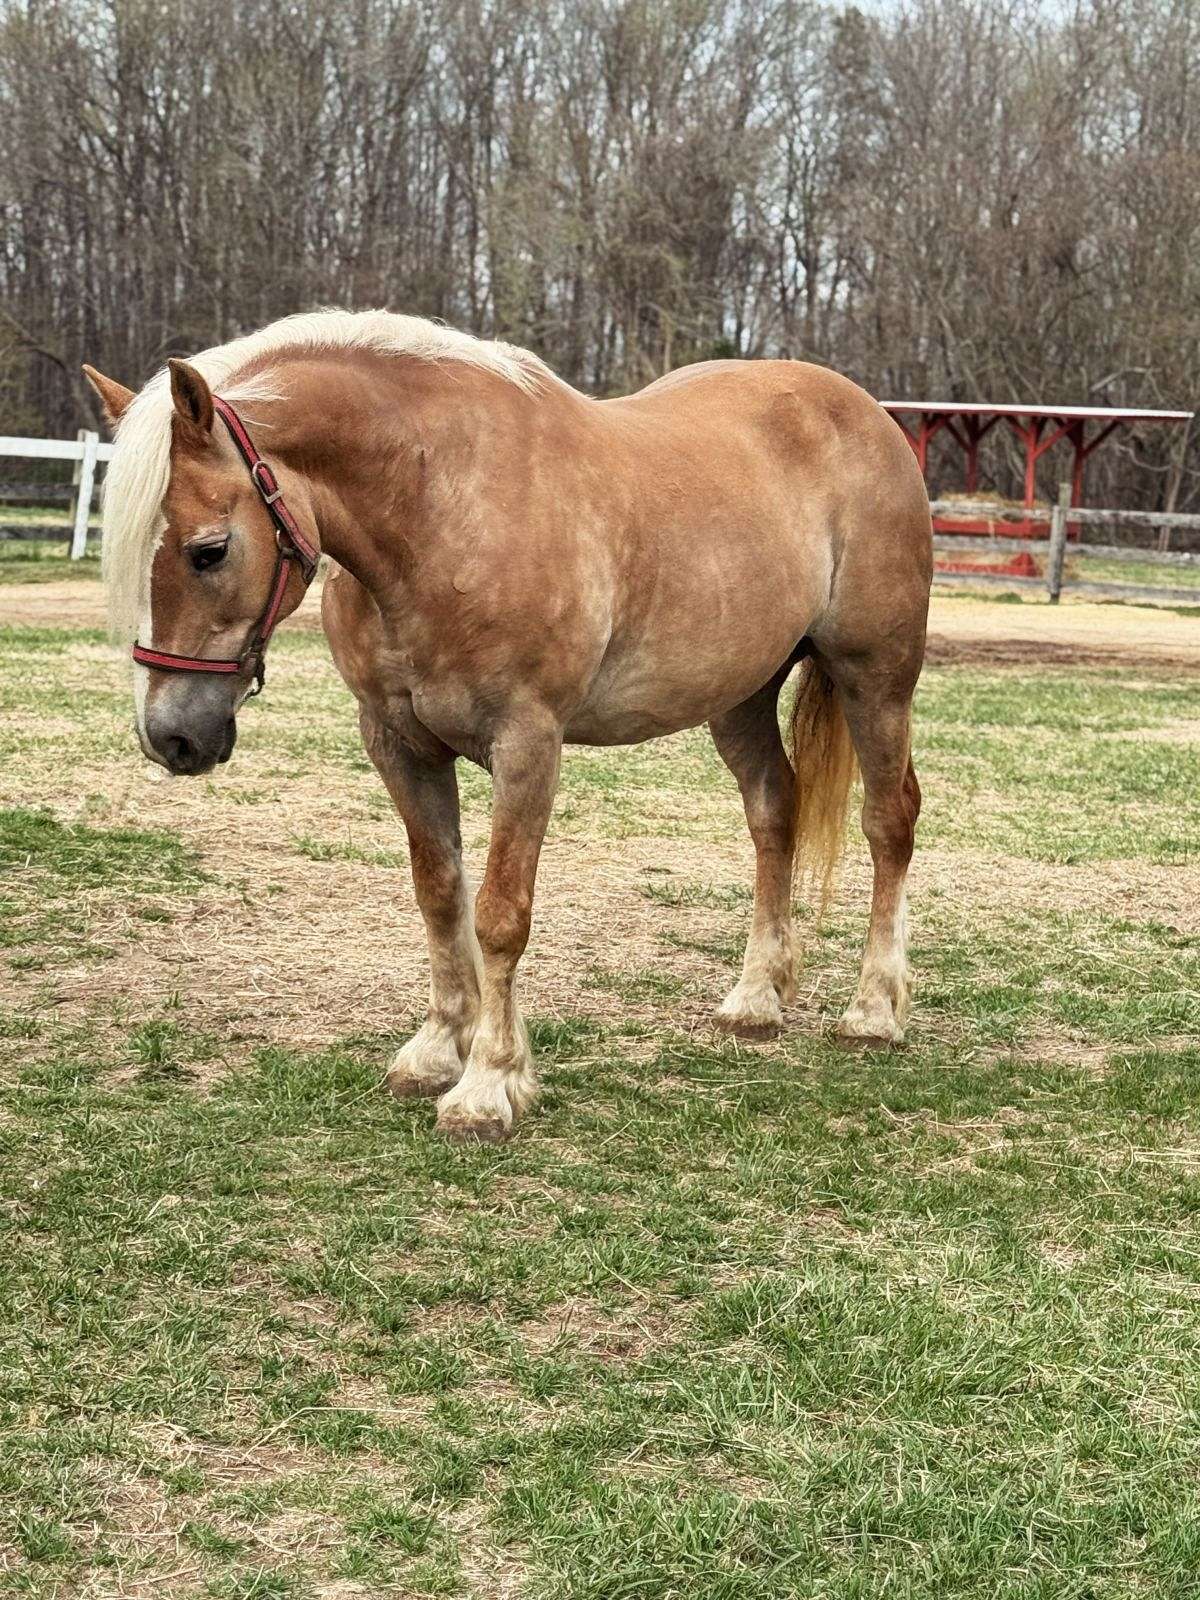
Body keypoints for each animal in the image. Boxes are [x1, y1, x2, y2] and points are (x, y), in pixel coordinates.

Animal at [84, 309, 932, 1142]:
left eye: (209, 551)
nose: (171, 737)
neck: (441, 508)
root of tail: (866, 415)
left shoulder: (527, 744)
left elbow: (500, 914)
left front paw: (487, 1086)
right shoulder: (397, 744)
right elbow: (439, 894)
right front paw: (437, 1051)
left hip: (874, 677)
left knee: (889, 822)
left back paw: (873, 1012)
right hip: (741, 696)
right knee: (773, 812)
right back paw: (755, 1000)